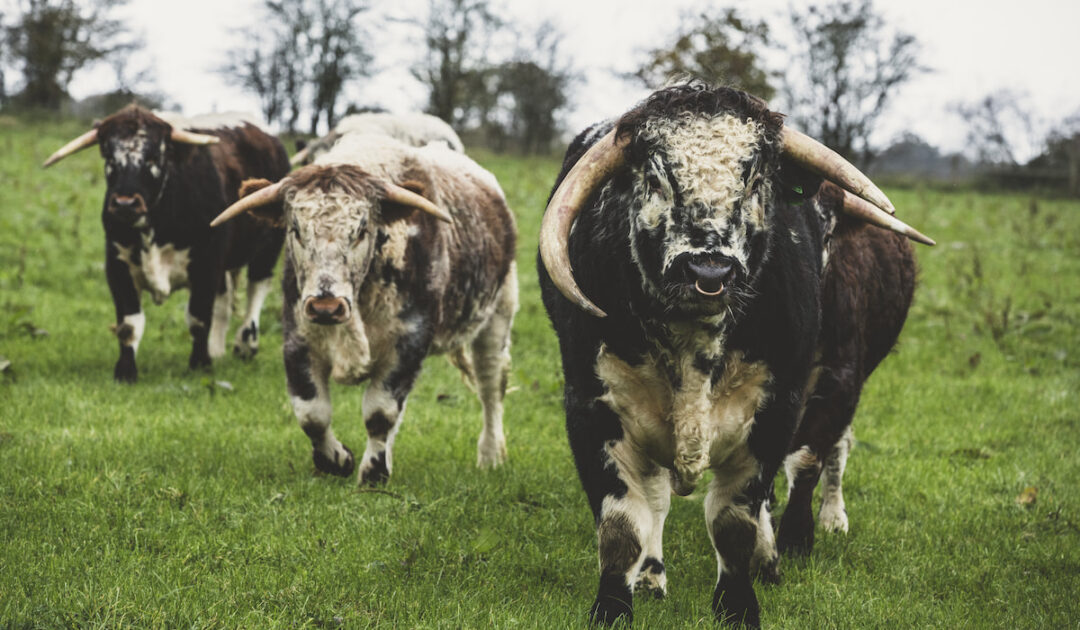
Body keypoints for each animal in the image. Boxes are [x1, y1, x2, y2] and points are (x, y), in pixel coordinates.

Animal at [42, 105, 290, 383]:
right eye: (109, 157)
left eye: (154, 158)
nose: (125, 204)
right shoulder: (117, 264)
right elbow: (128, 324)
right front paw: (126, 371)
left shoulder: (206, 263)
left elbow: (198, 318)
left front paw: (200, 365)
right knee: (223, 302)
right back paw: (216, 350)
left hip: (268, 248)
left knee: (257, 288)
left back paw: (246, 344)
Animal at [210, 132, 517, 484]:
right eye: (296, 229)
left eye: (361, 230)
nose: (326, 307)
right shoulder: (298, 339)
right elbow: (312, 414)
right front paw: (337, 459)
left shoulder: (409, 343)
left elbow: (380, 412)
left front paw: (373, 472)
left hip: (497, 318)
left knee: (491, 387)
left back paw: (490, 455)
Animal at [537, 83, 932, 627]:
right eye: (656, 178)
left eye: (755, 179)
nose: (709, 269)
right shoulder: (592, 407)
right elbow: (622, 524)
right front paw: (614, 606)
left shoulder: (789, 402)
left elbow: (744, 511)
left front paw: (751, 590)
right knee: (656, 497)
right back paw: (652, 574)